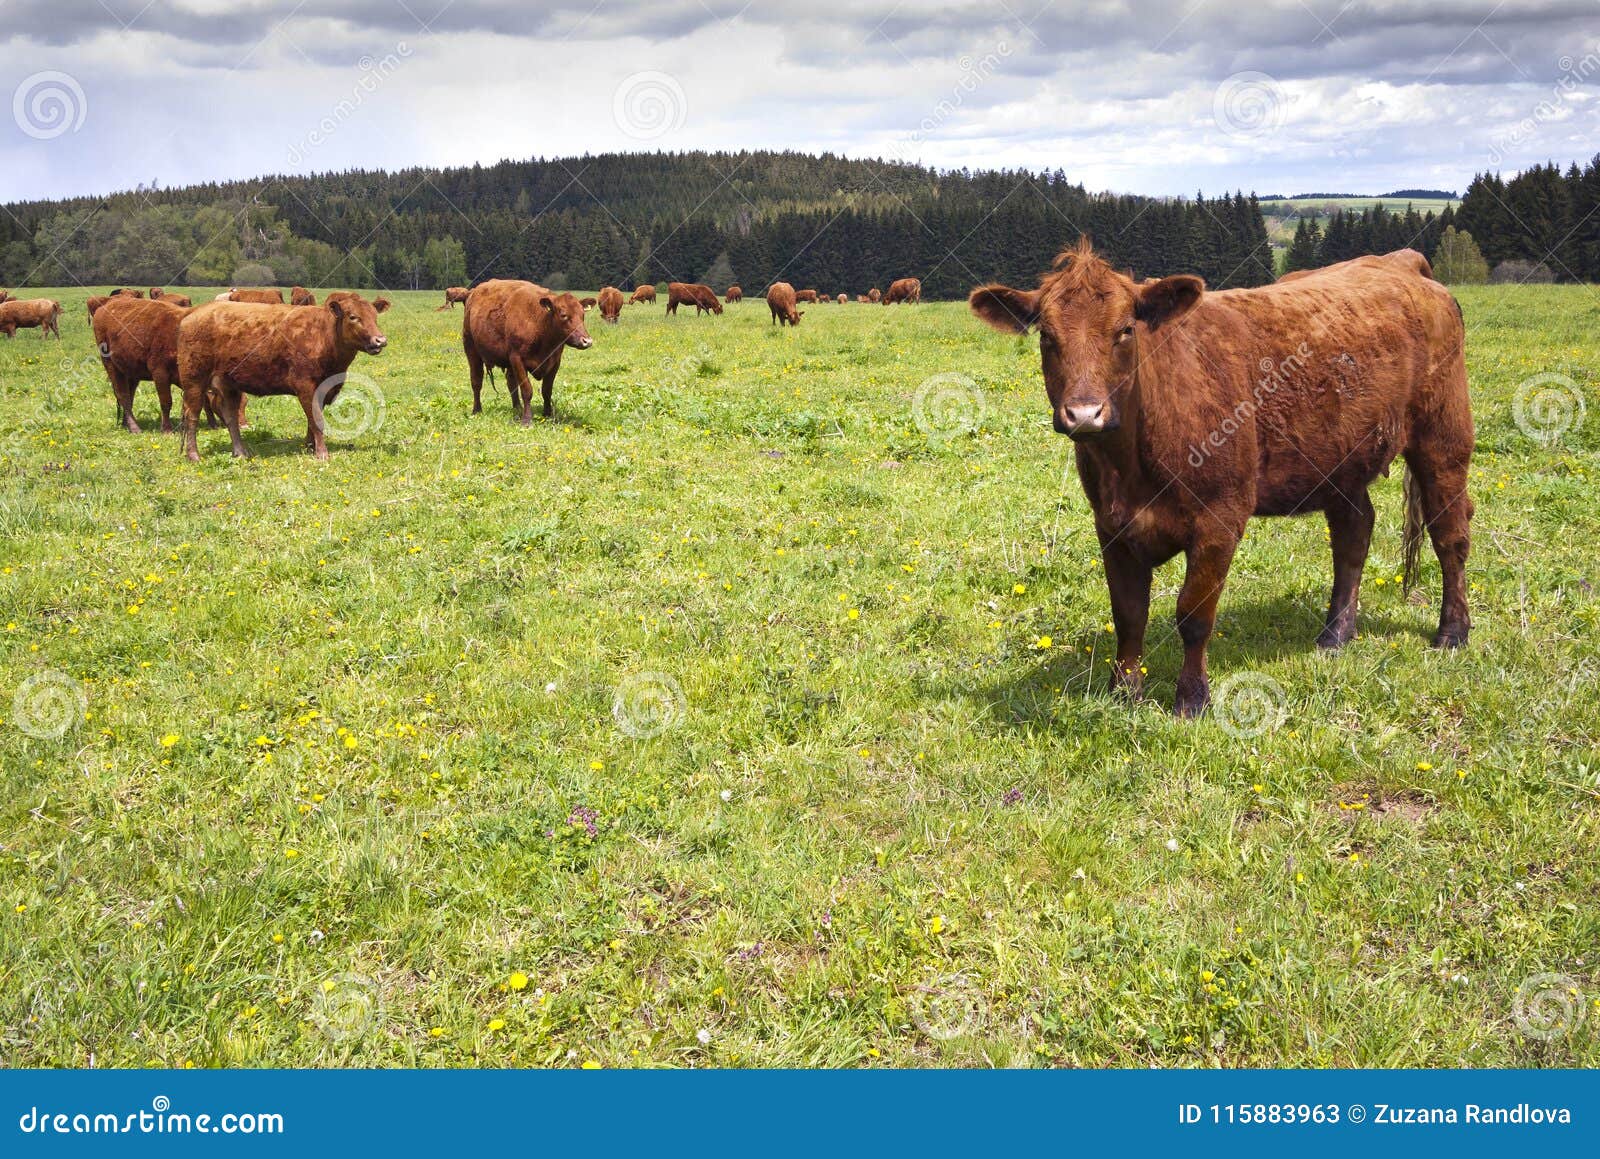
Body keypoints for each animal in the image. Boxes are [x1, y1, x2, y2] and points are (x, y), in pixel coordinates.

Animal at [176, 291, 390, 461]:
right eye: (353, 317)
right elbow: (316, 419)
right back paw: (193, 455)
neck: (323, 334)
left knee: (230, 418)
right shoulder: (306, 386)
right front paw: (321, 453)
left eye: (375, 316)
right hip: (194, 382)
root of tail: (193, 313)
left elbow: (312, 420)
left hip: (229, 386)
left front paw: (309, 446)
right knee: (192, 416)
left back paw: (240, 452)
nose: (380, 340)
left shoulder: (323, 388)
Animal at [461, 278, 592, 425]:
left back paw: (517, 408)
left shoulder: (554, 362)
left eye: (582, 315)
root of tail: (473, 292)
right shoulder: (517, 359)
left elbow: (547, 390)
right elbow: (526, 390)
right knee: (476, 381)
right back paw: (477, 410)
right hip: (471, 349)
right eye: (563, 315)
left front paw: (548, 414)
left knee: (511, 383)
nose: (587, 341)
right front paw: (527, 419)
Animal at [968, 239, 1474, 717]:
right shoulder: (1111, 524)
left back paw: (1452, 632)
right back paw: (1334, 634)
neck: (1130, 465)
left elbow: (1193, 615)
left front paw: (1192, 700)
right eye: (1047, 336)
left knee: (1450, 536)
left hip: (1444, 440)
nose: (1085, 413)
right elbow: (1128, 613)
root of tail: (1400, 262)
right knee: (1354, 535)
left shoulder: (1219, 517)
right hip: (1340, 459)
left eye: (1125, 330)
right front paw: (1123, 694)